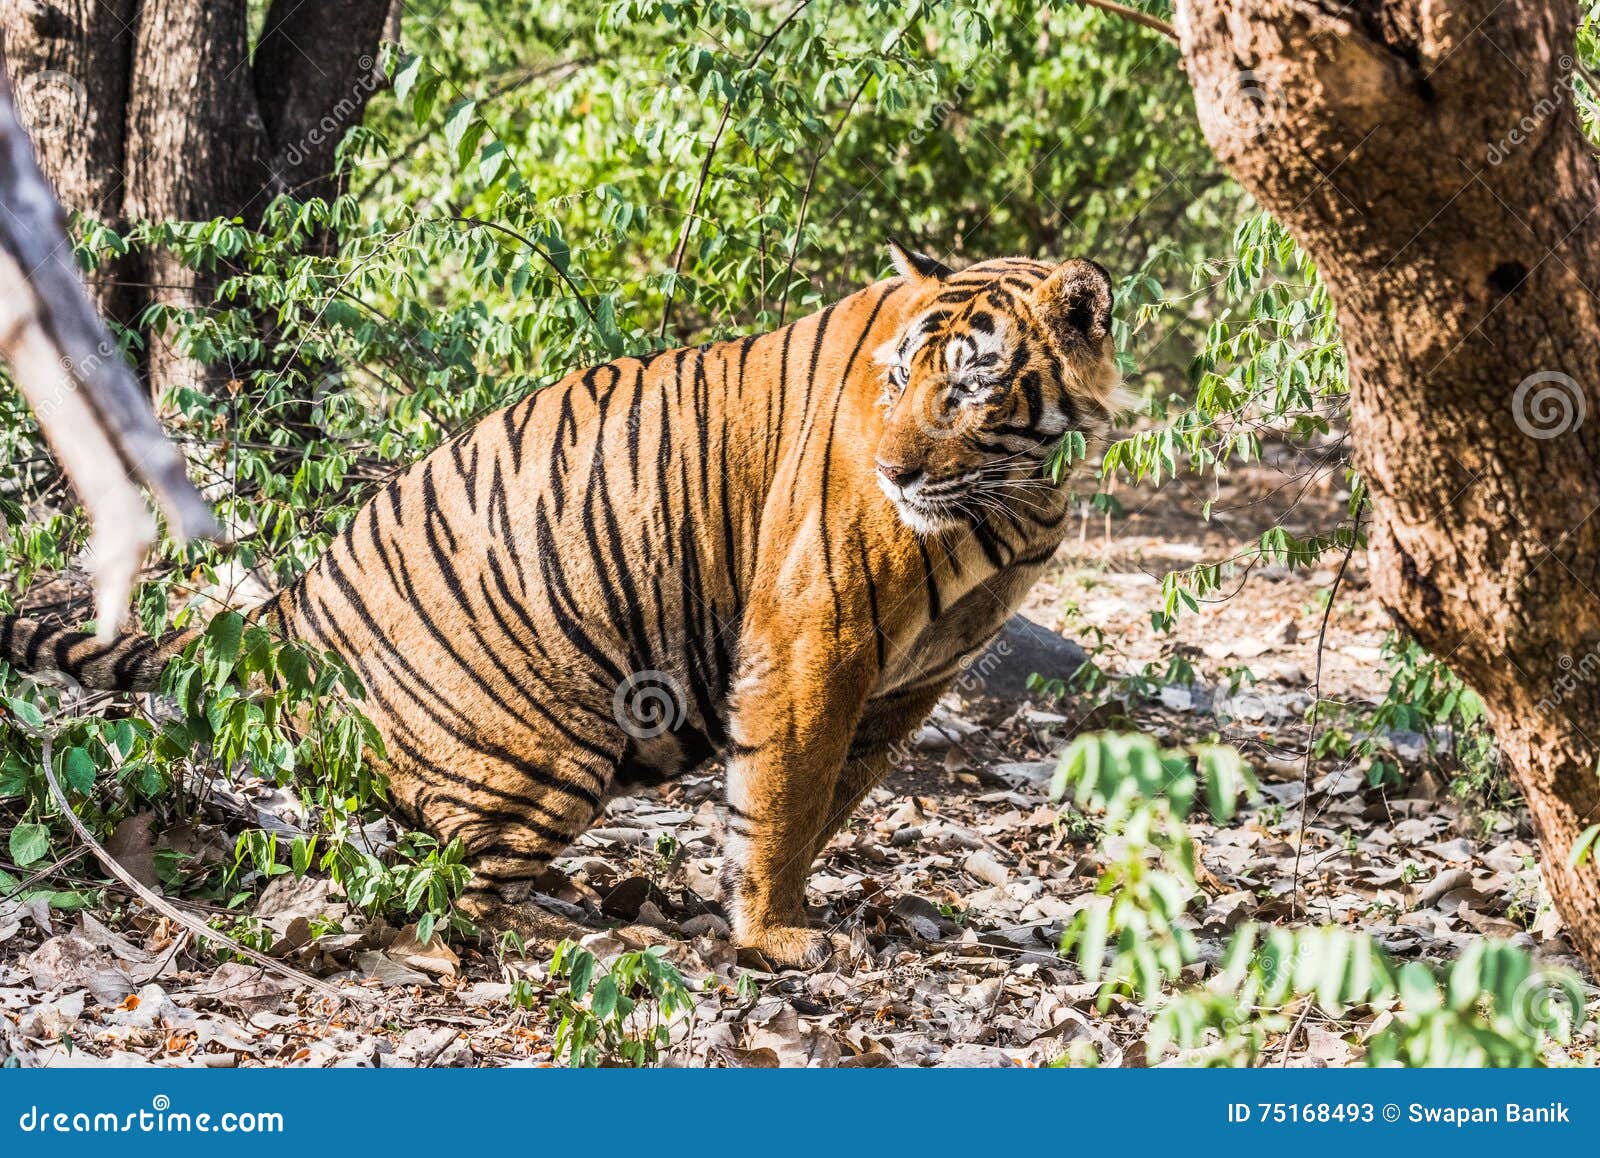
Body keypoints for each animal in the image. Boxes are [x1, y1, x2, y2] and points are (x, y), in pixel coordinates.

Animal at [0, 242, 1120, 968]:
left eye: (967, 389)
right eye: (895, 380)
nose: (891, 473)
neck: (1020, 494)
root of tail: (298, 602)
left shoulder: (909, 680)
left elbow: (827, 800)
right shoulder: (815, 638)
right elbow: (785, 797)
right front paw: (773, 933)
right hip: (553, 743)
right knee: (452, 900)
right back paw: (596, 928)